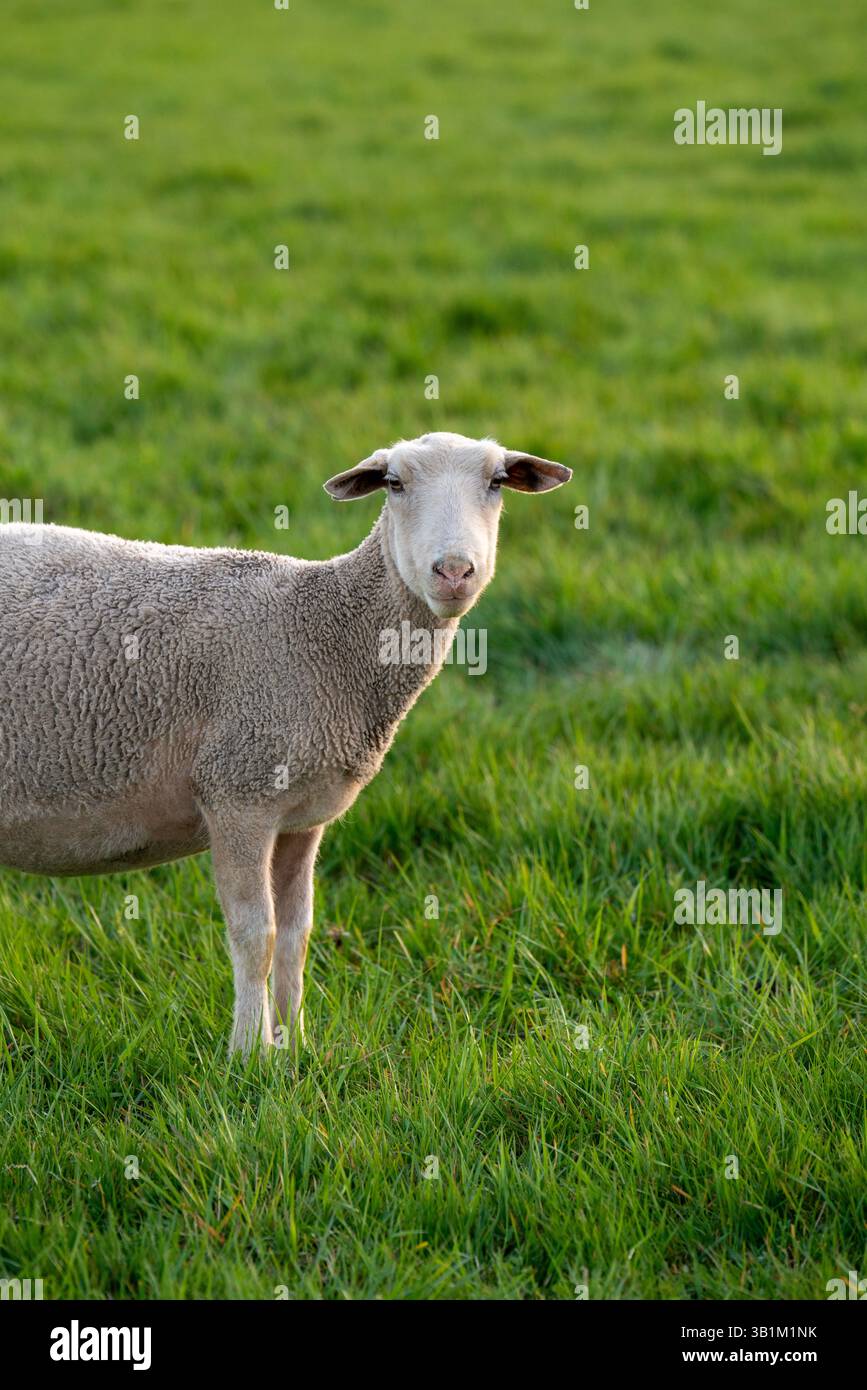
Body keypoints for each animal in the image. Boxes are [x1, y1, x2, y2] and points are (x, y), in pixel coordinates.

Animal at [0, 432, 571, 1056]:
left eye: (497, 482)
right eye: (394, 483)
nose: (454, 570)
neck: (322, 631)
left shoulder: (302, 817)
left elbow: (298, 935)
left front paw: (295, 1046)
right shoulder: (237, 792)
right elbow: (257, 935)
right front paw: (247, 1055)